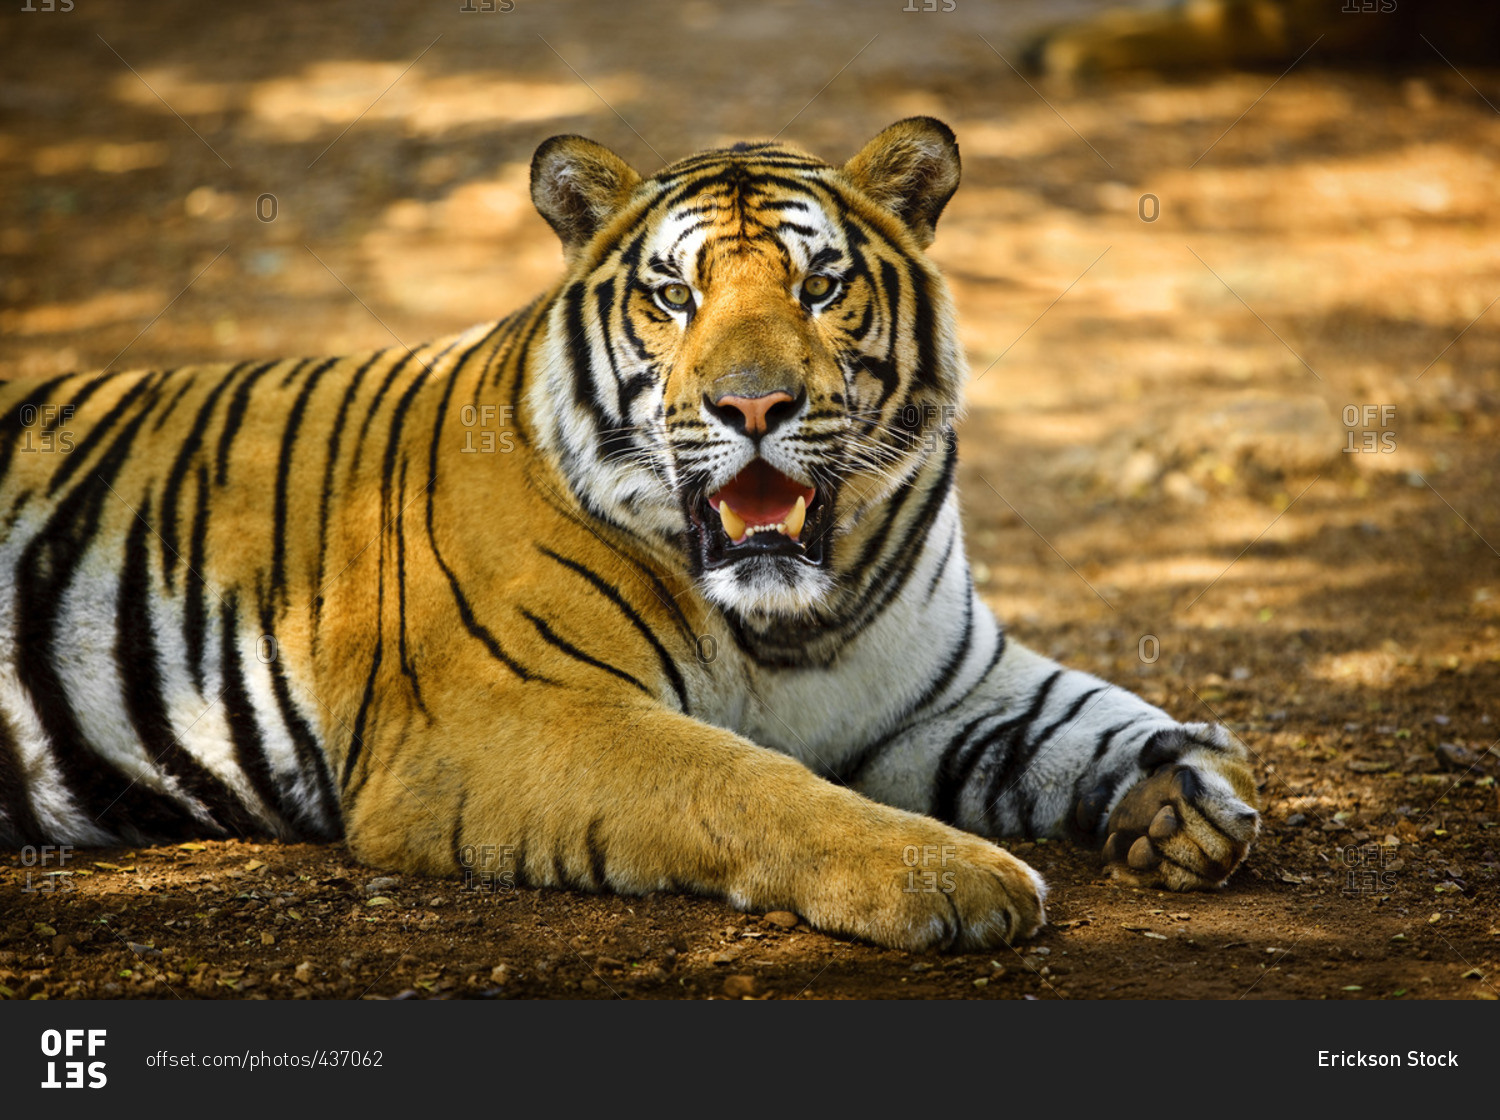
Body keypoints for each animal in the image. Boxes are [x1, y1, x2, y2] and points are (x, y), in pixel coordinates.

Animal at [0, 118, 1260, 951]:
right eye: (673, 295)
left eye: (820, 287)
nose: (754, 407)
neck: (792, 620)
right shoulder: (511, 713)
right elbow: (741, 777)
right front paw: (952, 878)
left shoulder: (948, 688)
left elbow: (1094, 715)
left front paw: (1188, 797)